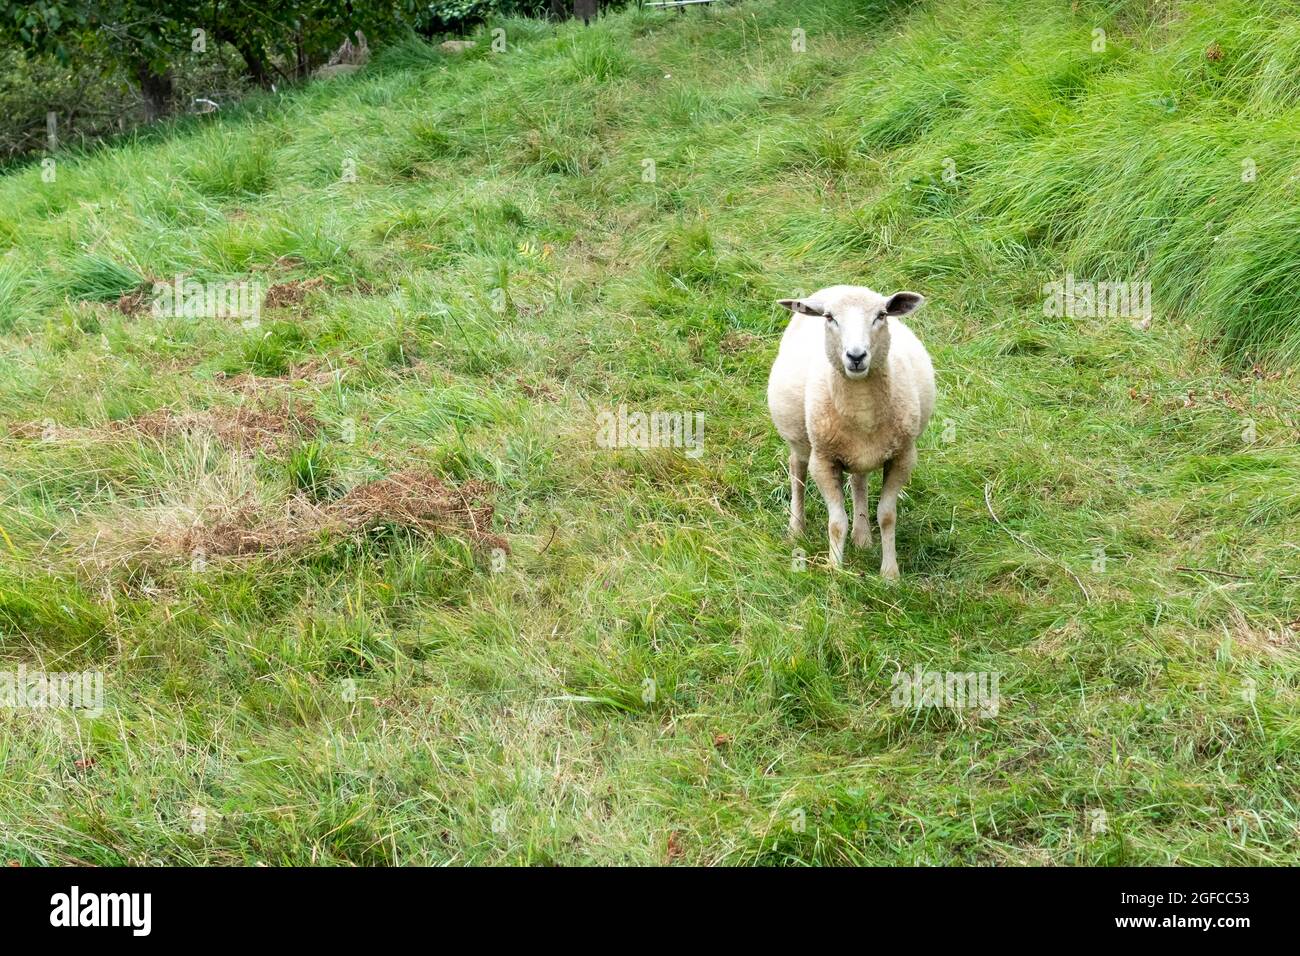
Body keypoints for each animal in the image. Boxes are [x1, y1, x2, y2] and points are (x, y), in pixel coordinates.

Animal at [767, 284, 935, 579]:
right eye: (829, 317)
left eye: (881, 315)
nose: (856, 356)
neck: (863, 413)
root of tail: (839, 286)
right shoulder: (823, 461)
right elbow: (836, 522)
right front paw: (835, 570)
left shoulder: (903, 457)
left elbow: (887, 516)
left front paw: (890, 574)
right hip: (801, 439)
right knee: (797, 471)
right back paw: (796, 529)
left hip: (857, 453)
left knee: (859, 481)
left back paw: (862, 536)